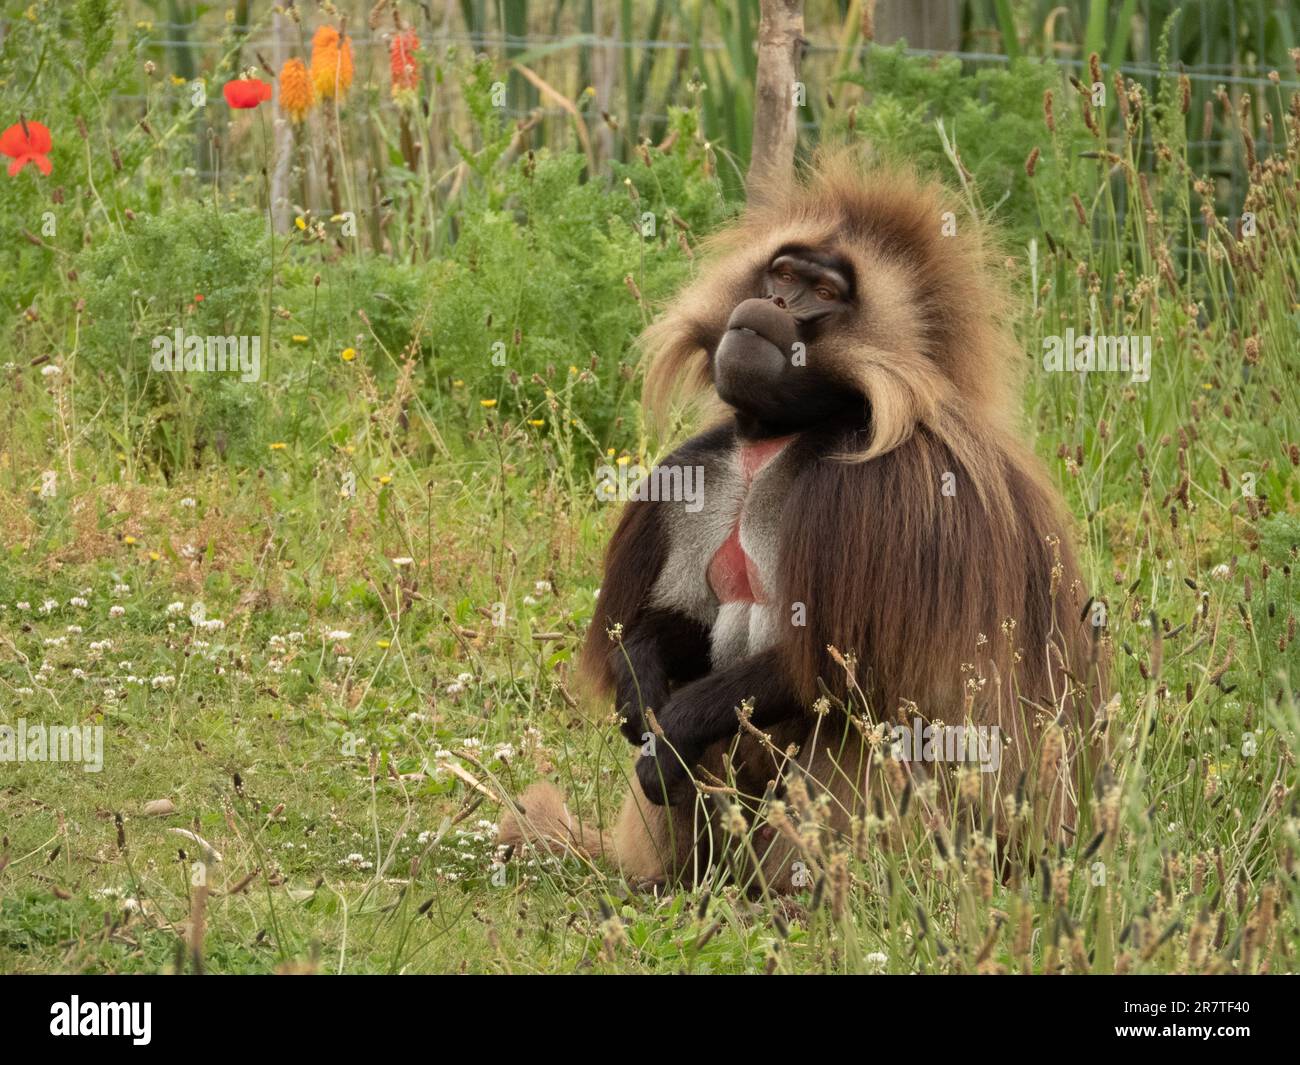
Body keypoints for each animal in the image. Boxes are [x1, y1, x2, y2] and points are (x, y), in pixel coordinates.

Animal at [498, 151, 1101, 891]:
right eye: (783, 273)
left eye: (825, 292)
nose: (778, 304)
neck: (784, 434)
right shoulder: (695, 474)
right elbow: (681, 632)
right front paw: (639, 680)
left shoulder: (882, 490)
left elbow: (828, 669)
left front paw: (669, 738)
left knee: (855, 729)